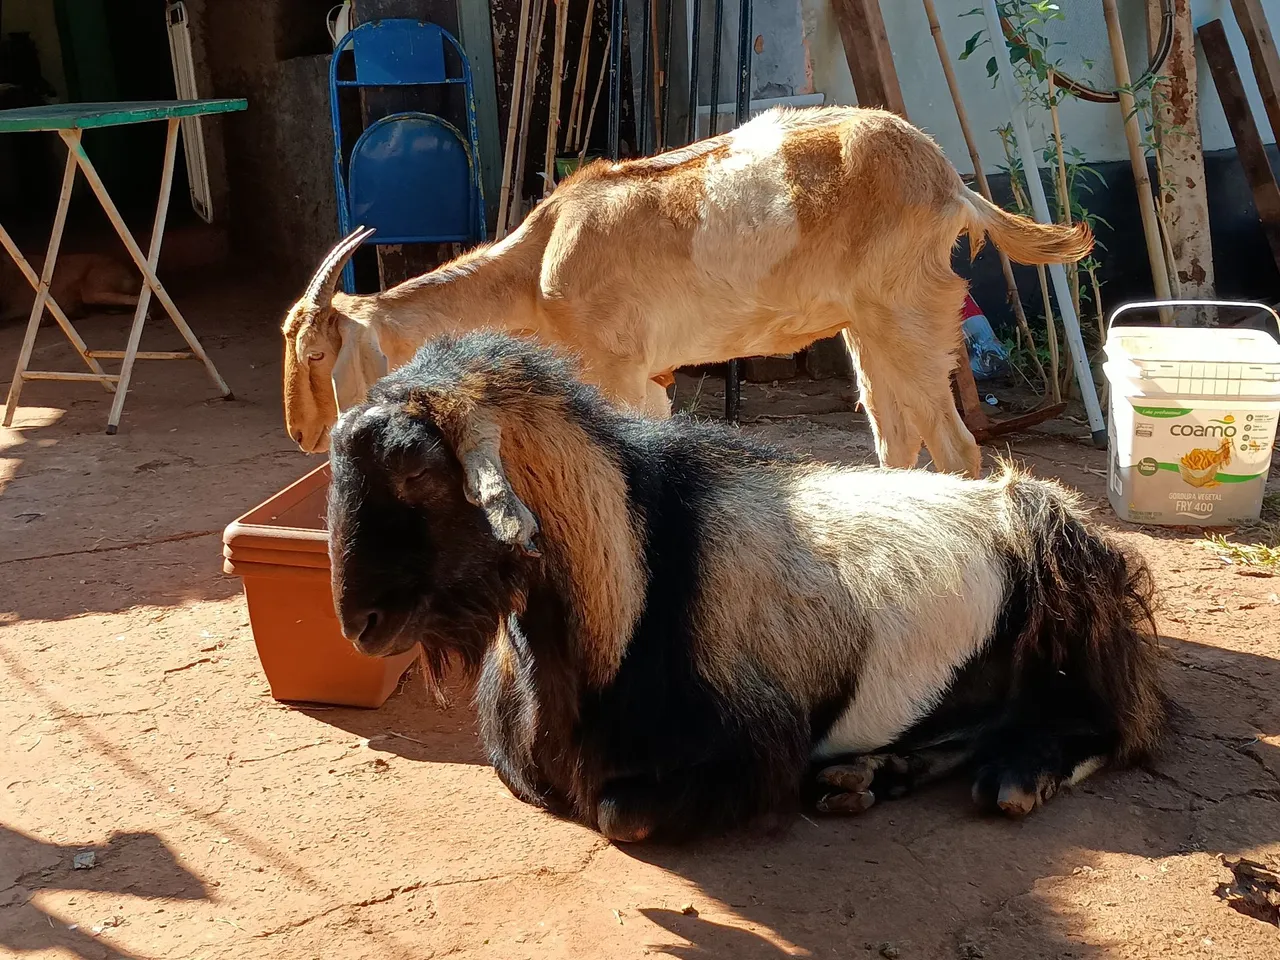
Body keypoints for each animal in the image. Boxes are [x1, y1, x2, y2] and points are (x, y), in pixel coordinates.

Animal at [284, 105, 1094, 475]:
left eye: (319, 352)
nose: (301, 433)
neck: (538, 262)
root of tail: (952, 185)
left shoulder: (613, 367)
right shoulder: (646, 378)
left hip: (907, 318)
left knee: (957, 450)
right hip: (868, 327)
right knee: (898, 439)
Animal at [325, 331, 1165, 844]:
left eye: (418, 470)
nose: (358, 622)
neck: (634, 586)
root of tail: (1023, 501)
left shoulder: (750, 751)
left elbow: (619, 812)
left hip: (1071, 601)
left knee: (1115, 725)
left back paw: (1019, 776)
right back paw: (872, 773)